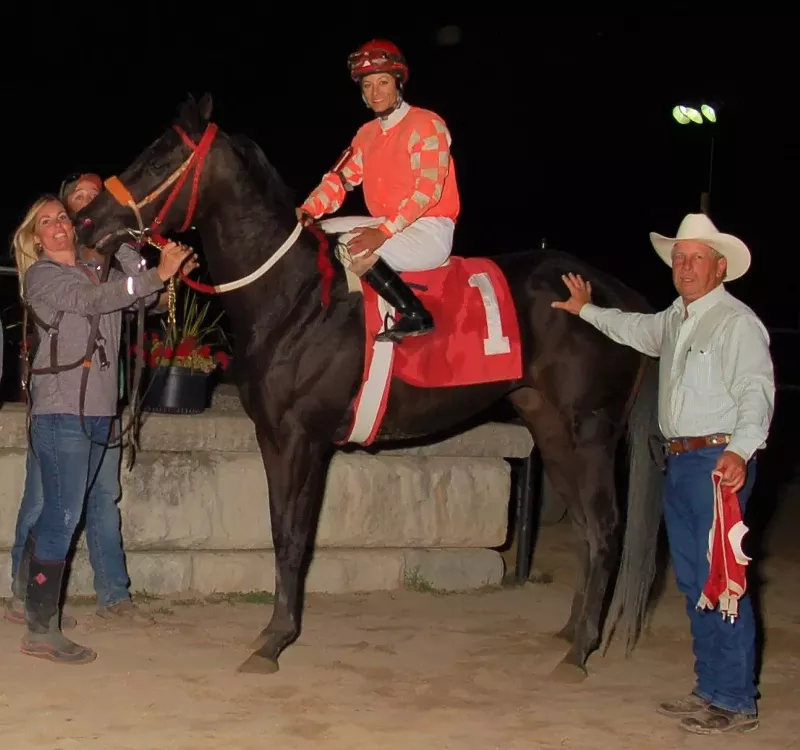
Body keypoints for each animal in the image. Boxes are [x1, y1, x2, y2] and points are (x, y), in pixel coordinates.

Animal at [77, 92, 664, 679]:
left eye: (158, 158)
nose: (86, 221)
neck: (294, 297)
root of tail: (624, 297)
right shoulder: (272, 435)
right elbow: (278, 529)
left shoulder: (303, 438)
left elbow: (294, 538)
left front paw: (274, 639)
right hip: (549, 425)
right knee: (587, 528)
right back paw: (571, 632)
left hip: (591, 431)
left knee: (606, 527)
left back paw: (580, 650)